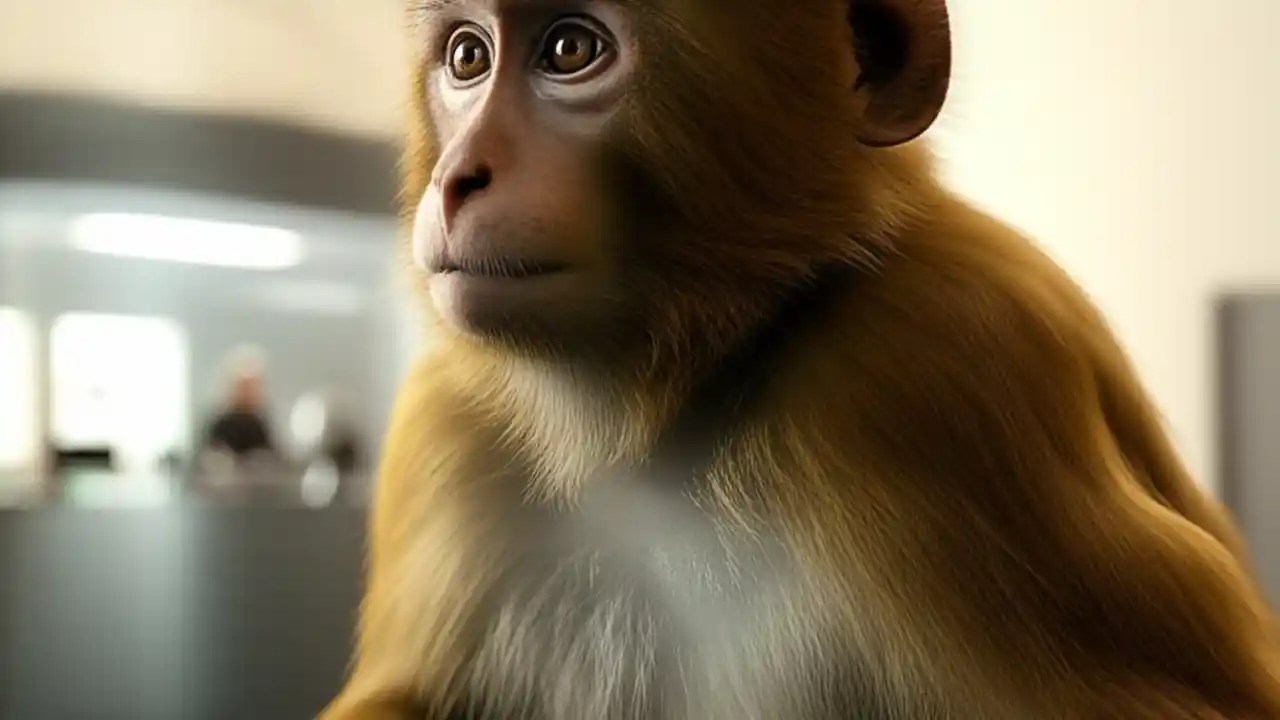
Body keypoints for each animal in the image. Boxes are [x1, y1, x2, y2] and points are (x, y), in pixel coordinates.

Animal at [321, 0, 1280, 718]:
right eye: (468, 57)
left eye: (570, 49)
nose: (457, 178)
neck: (670, 414)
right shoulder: (448, 421)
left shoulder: (942, 364)